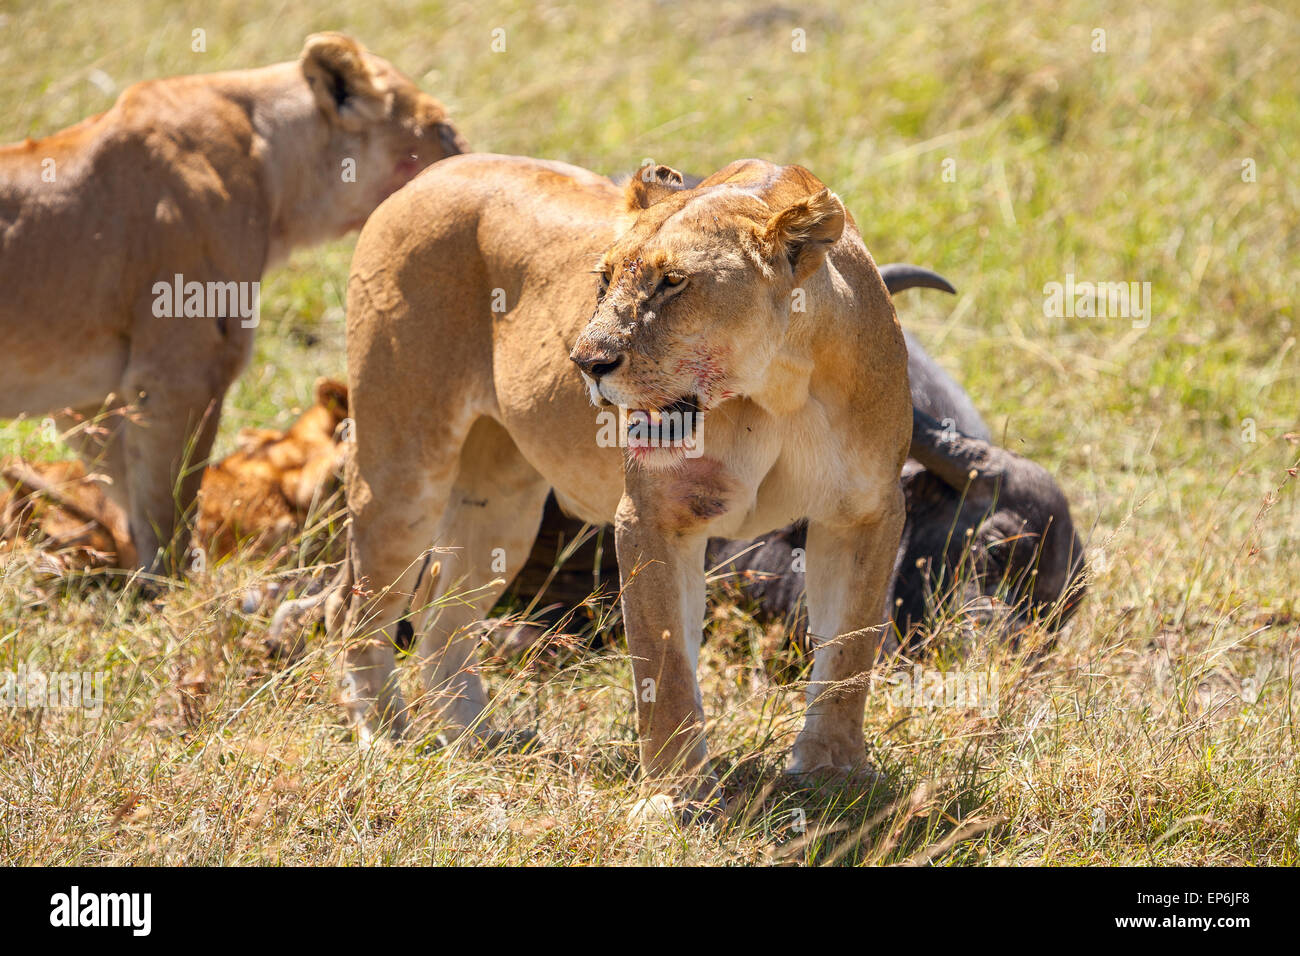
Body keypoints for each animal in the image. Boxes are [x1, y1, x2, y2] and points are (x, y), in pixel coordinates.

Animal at [0, 33, 464, 575]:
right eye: (443, 130)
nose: (474, 159)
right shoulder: (179, 371)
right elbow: (170, 509)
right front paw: (175, 585)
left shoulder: (88, 396)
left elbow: (125, 498)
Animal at [325, 154, 911, 801]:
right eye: (603, 279)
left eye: (673, 281)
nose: (586, 362)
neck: (777, 388)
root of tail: (435, 170)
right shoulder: (656, 515)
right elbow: (666, 666)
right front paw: (675, 798)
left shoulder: (866, 511)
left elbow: (850, 647)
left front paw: (835, 774)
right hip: (401, 465)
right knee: (354, 608)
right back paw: (386, 738)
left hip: (502, 499)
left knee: (440, 614)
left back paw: (477, 745)